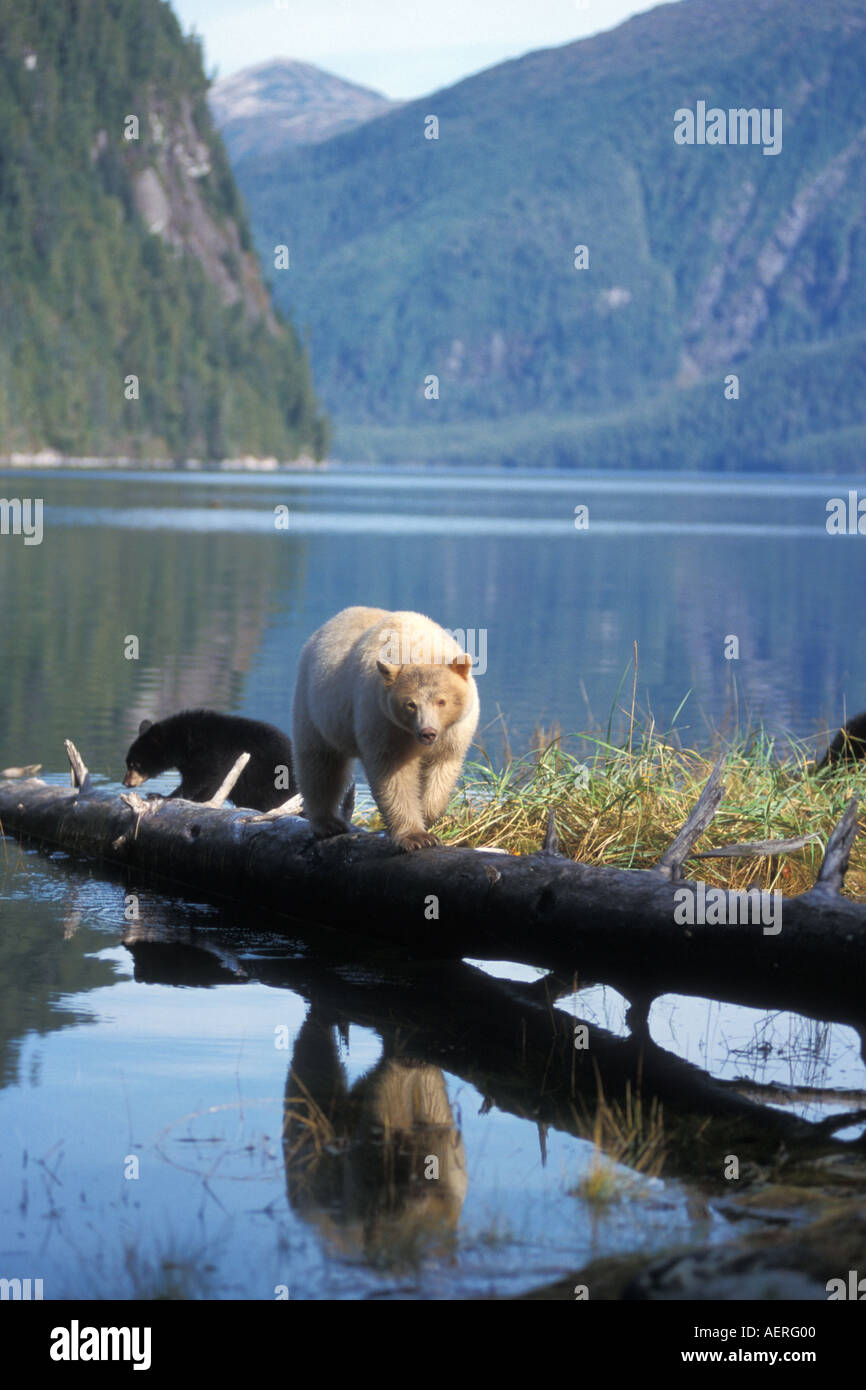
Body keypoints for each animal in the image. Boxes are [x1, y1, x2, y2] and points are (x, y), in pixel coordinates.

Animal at [122, 709, 297, 811]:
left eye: (135, 764)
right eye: (128, 763)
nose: (126, 783)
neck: (185, 741)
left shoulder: (211, 754)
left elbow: (203, 778)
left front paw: (163, 796)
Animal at [292, 606, 479, 851]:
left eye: (442, 701)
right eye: (410, 704)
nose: (427, 732)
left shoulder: (454, 731)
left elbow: (442, 768)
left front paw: (428, 815)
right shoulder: (383, 720)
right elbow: (394, 773)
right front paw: (416, 837)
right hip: (316, 707)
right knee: (320, 763)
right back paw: (327, 823)